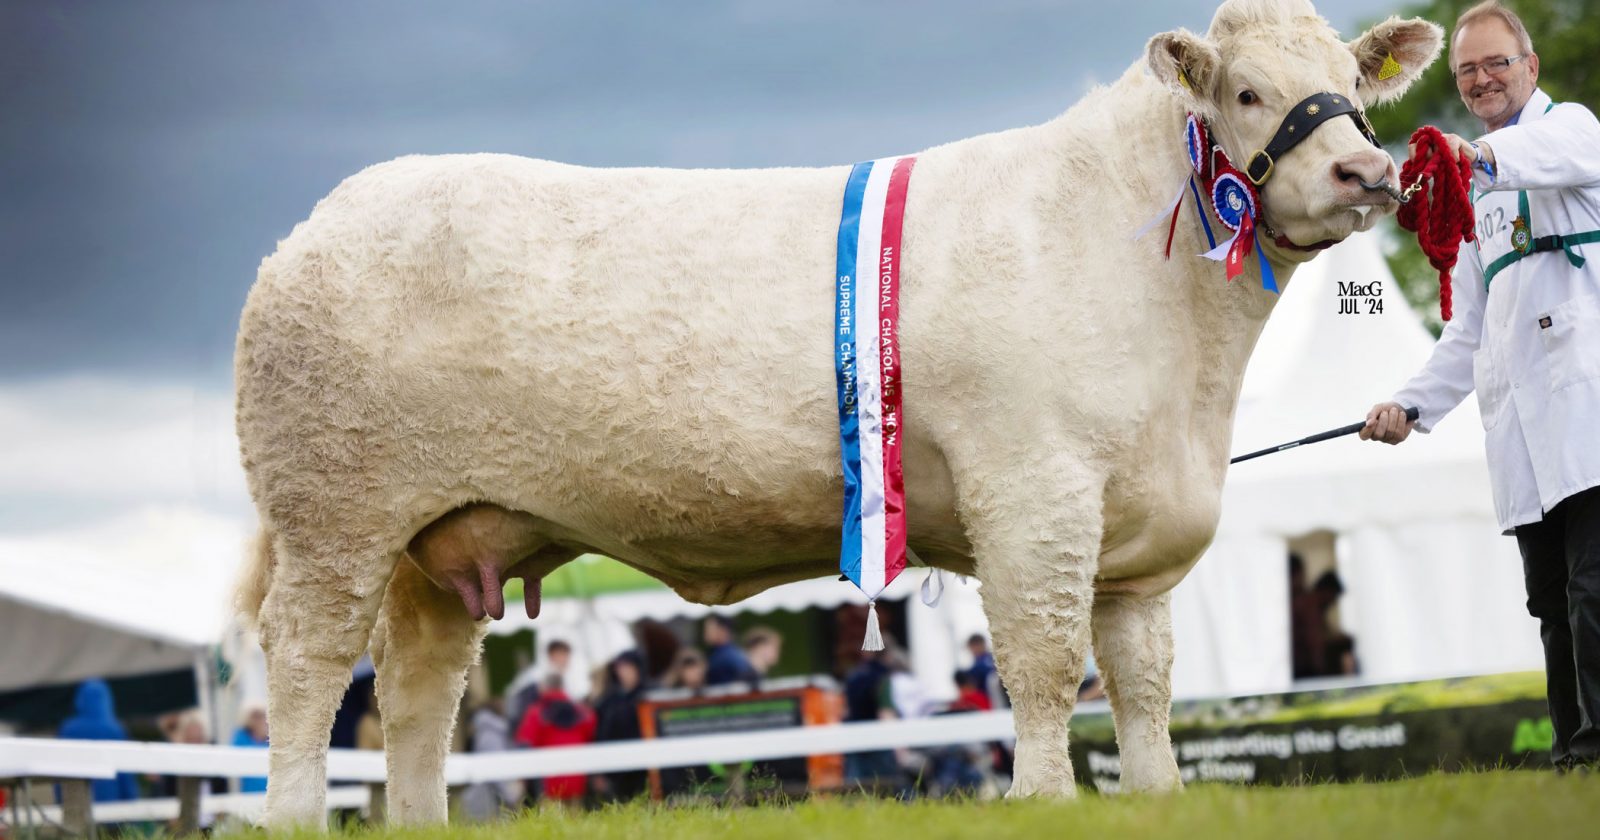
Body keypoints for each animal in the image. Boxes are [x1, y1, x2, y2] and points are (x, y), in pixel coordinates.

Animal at [232, 0, 1441, 826]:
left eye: (1352, 79)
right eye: (1246, 92)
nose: (1366, 171)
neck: (1189, 376)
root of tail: (321, 221)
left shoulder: (1142, 527)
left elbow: (1142, 680)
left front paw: (1154, 797)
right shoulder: (1034, 492)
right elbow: (1046, 660)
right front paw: (1044, 798)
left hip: (437, 538)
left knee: (417, 687)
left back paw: (417, 821)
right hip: (333, 514)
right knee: (307, 664)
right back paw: (293, 817)